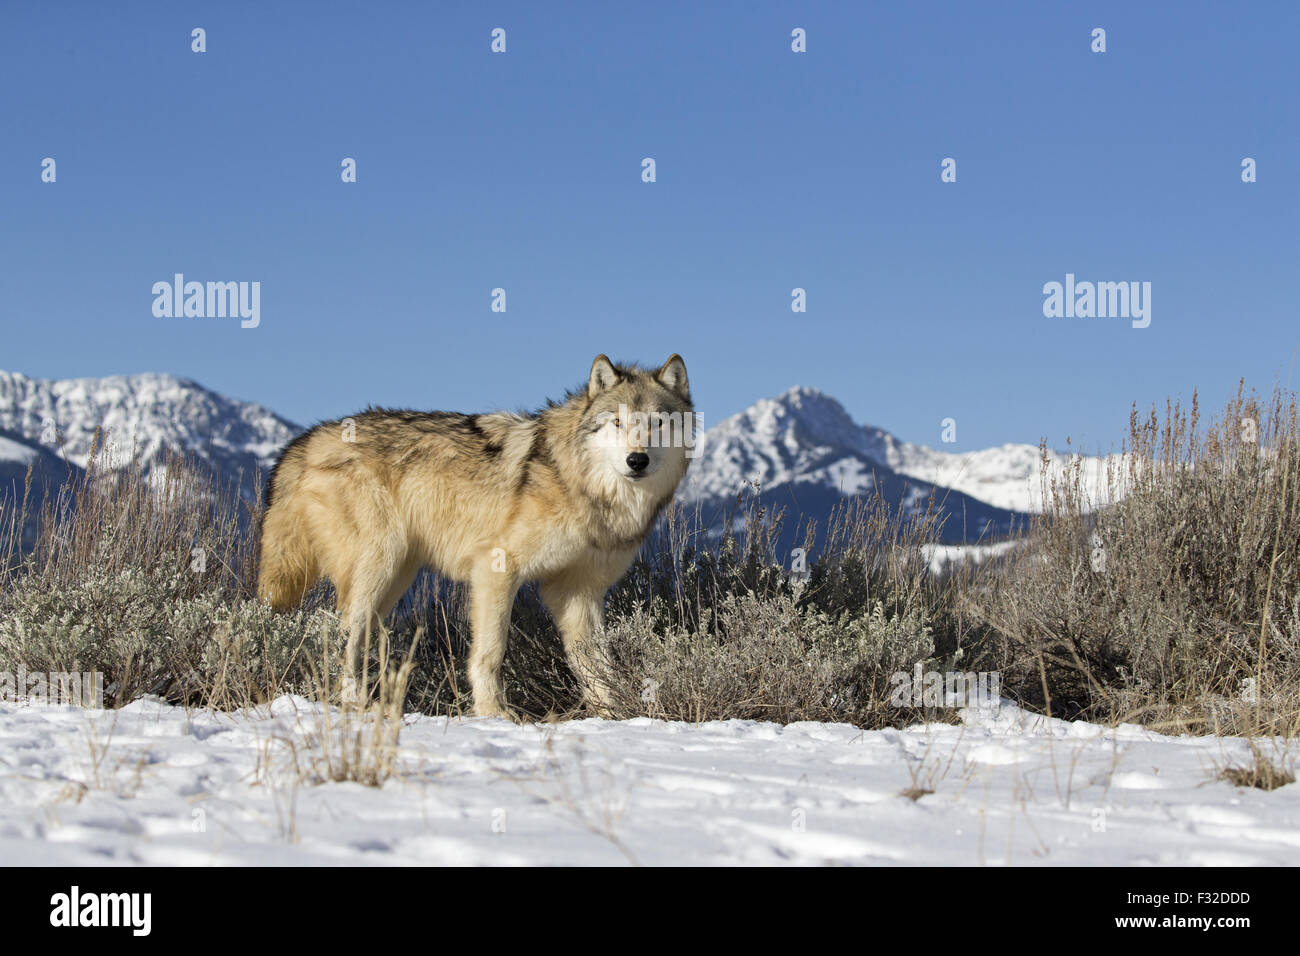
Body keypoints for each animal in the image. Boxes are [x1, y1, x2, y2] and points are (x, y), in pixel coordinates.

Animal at [257, 354, 694, 718]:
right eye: (617, 422)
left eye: (658, 424)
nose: (636, 460)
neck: (578, 482)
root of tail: (307, 439)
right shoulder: (496, 568)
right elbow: (490, 652)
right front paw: (494, 714)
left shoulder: (577, 592)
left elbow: (597, 666)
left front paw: (615, 715)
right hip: (375, 570)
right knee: (340, 635)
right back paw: (358, 708)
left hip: (395, 578)